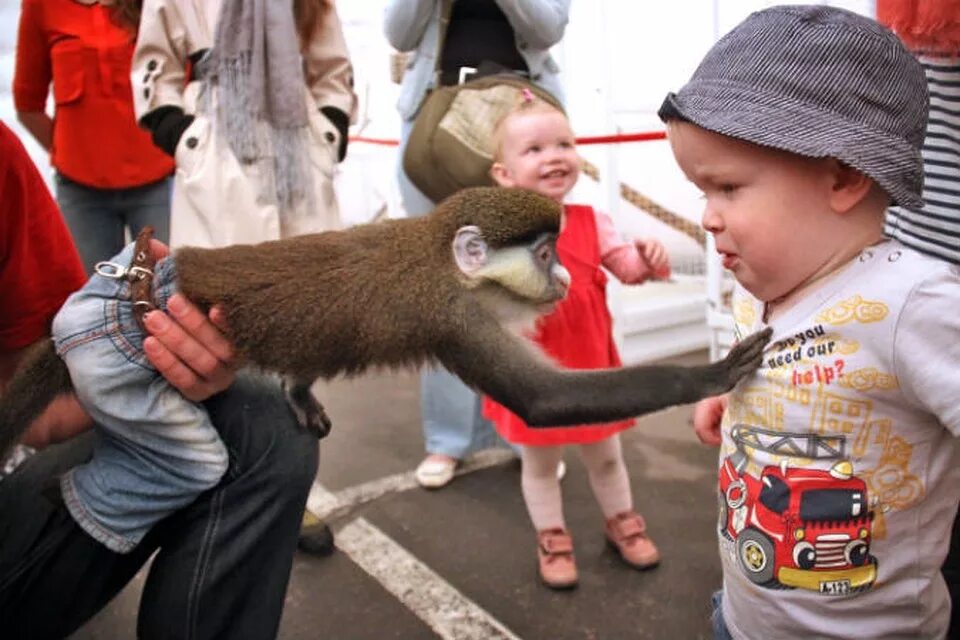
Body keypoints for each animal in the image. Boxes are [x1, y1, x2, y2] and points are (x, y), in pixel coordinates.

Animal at [0, 185, 772, 460]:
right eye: (545, 253)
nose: (561, 279)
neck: (441, 254)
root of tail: (164, 272)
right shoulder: (454, 318)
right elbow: (545, 400)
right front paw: (712, 373)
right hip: (118, 342)